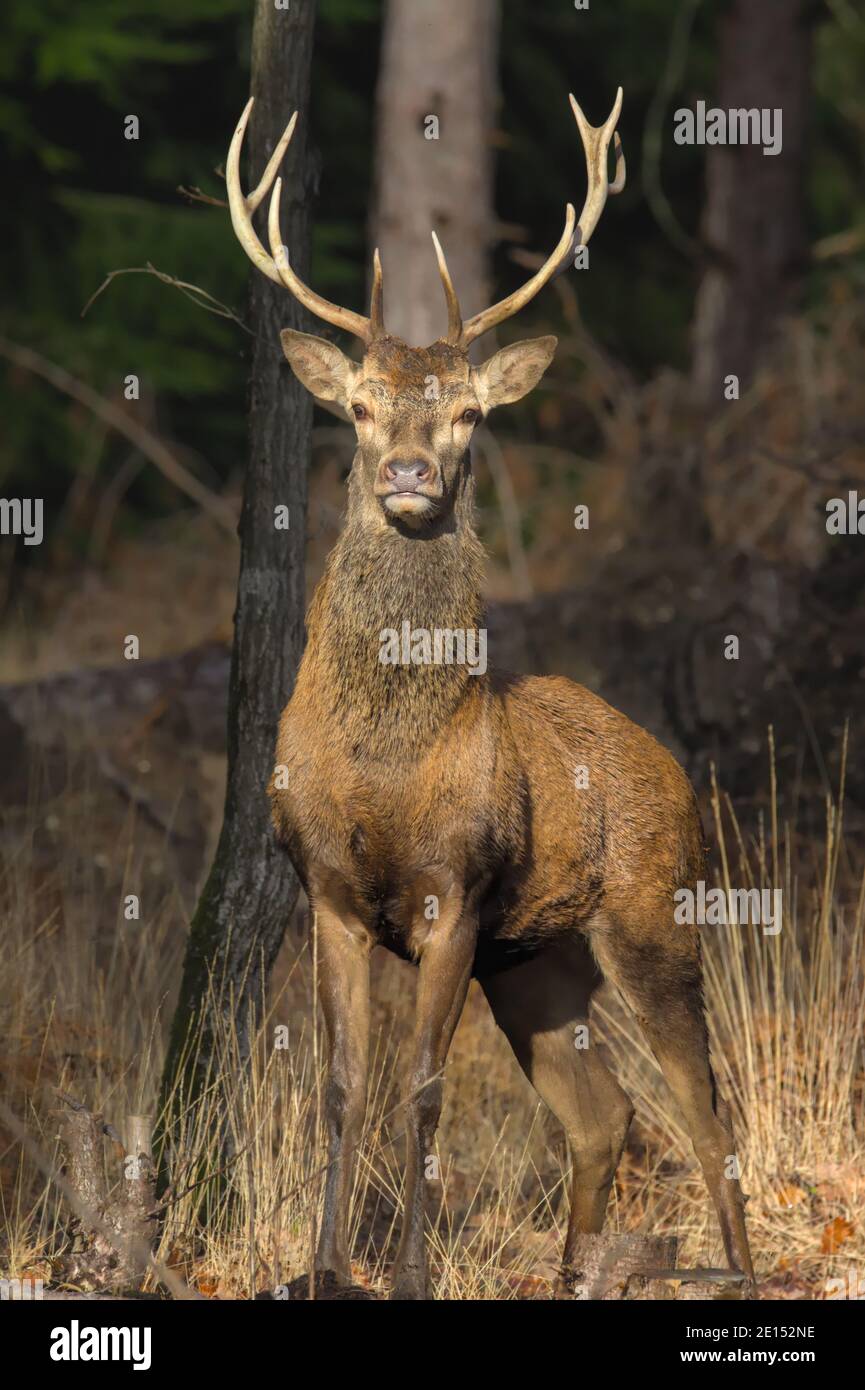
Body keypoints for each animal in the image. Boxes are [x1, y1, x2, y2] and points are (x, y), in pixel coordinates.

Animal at [226, 86, 755, 1301]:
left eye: (468, 412)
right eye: (360, 406)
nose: (409, 473)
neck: (384, 758)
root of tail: (668, 762)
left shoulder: (454, 891)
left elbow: (420, 1089)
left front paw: (411, 1276)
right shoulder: (329, 891)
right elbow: (340, 1087)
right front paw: (325, 1271)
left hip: (651, 912)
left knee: (705, 1114)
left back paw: (747, 1275)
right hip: (539, 958)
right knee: (603, 1116)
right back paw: (575, 1273)